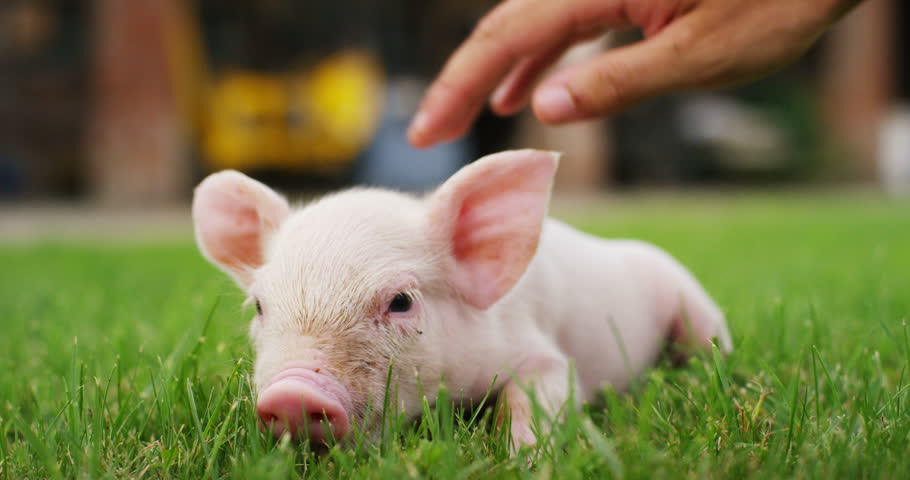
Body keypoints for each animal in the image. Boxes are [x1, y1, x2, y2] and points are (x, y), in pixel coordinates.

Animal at [191, 149, 732, 449]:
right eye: (260, 307)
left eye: (401, 301)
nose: (292, 394)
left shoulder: (544, 354)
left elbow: (540, 394)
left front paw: (523, 456)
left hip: (695, 306)